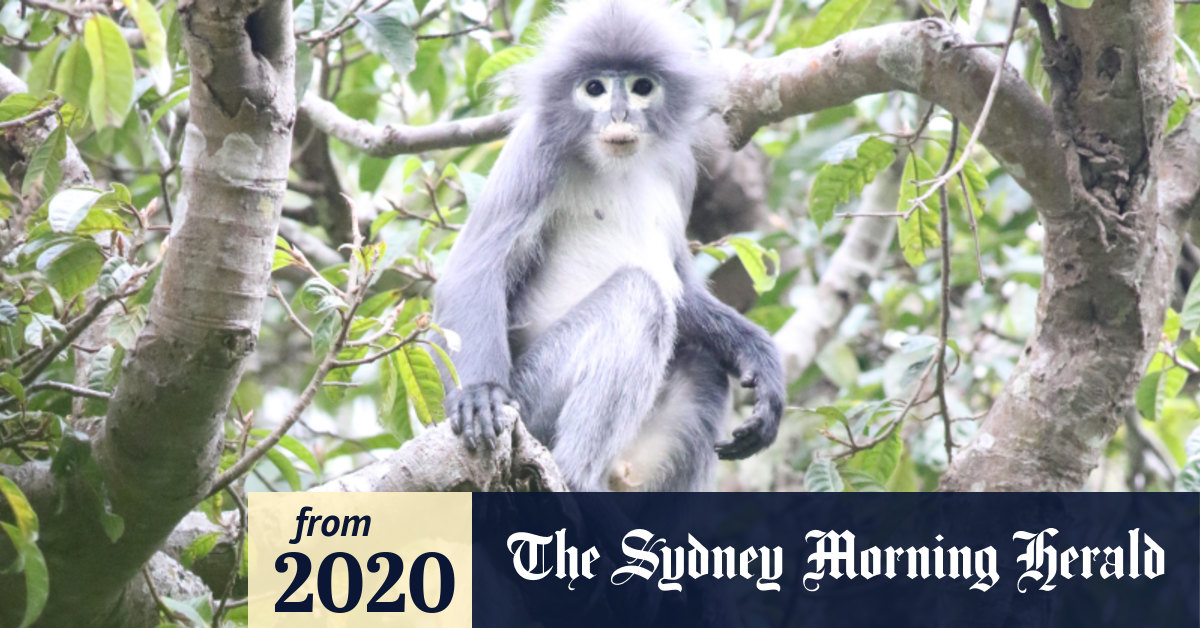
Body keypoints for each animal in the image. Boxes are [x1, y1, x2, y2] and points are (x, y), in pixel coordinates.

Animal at [433, 0, 784, 491]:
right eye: (595, 89)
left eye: (641, 87)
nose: (619, 114)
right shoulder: (536, 148)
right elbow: (474, 267)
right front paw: (478, 393)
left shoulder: (679, 167)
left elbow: (682, 287)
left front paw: (760, 358)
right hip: (533, 401)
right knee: (639, 295)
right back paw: (575, 476)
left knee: (703, 361)